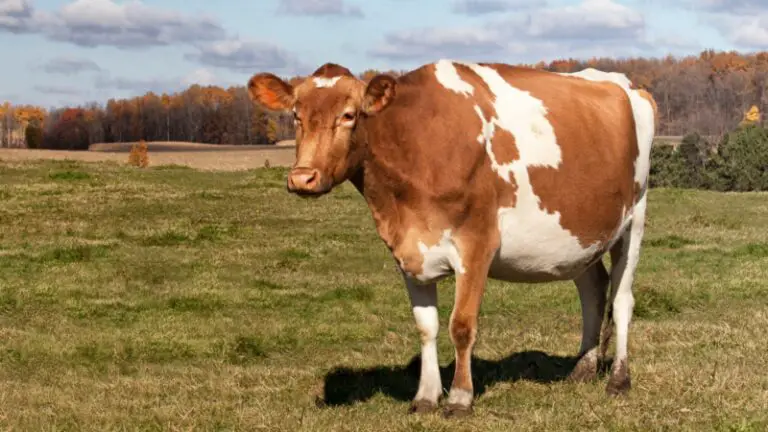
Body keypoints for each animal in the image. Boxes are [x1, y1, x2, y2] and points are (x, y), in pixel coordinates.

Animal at [247, 60, 656, 417]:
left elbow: (461, 326)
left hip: (634, 218)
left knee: (622, 299)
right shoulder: (409, 252)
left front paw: (460, 398)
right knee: (593, 290)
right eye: (296, 115)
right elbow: (425, 327)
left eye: (349, 115)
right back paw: (583, 369)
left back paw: (618, 379)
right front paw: (426, 397)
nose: (303, 178)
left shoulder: (477, 246)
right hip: (578, 237)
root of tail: (627, 84)